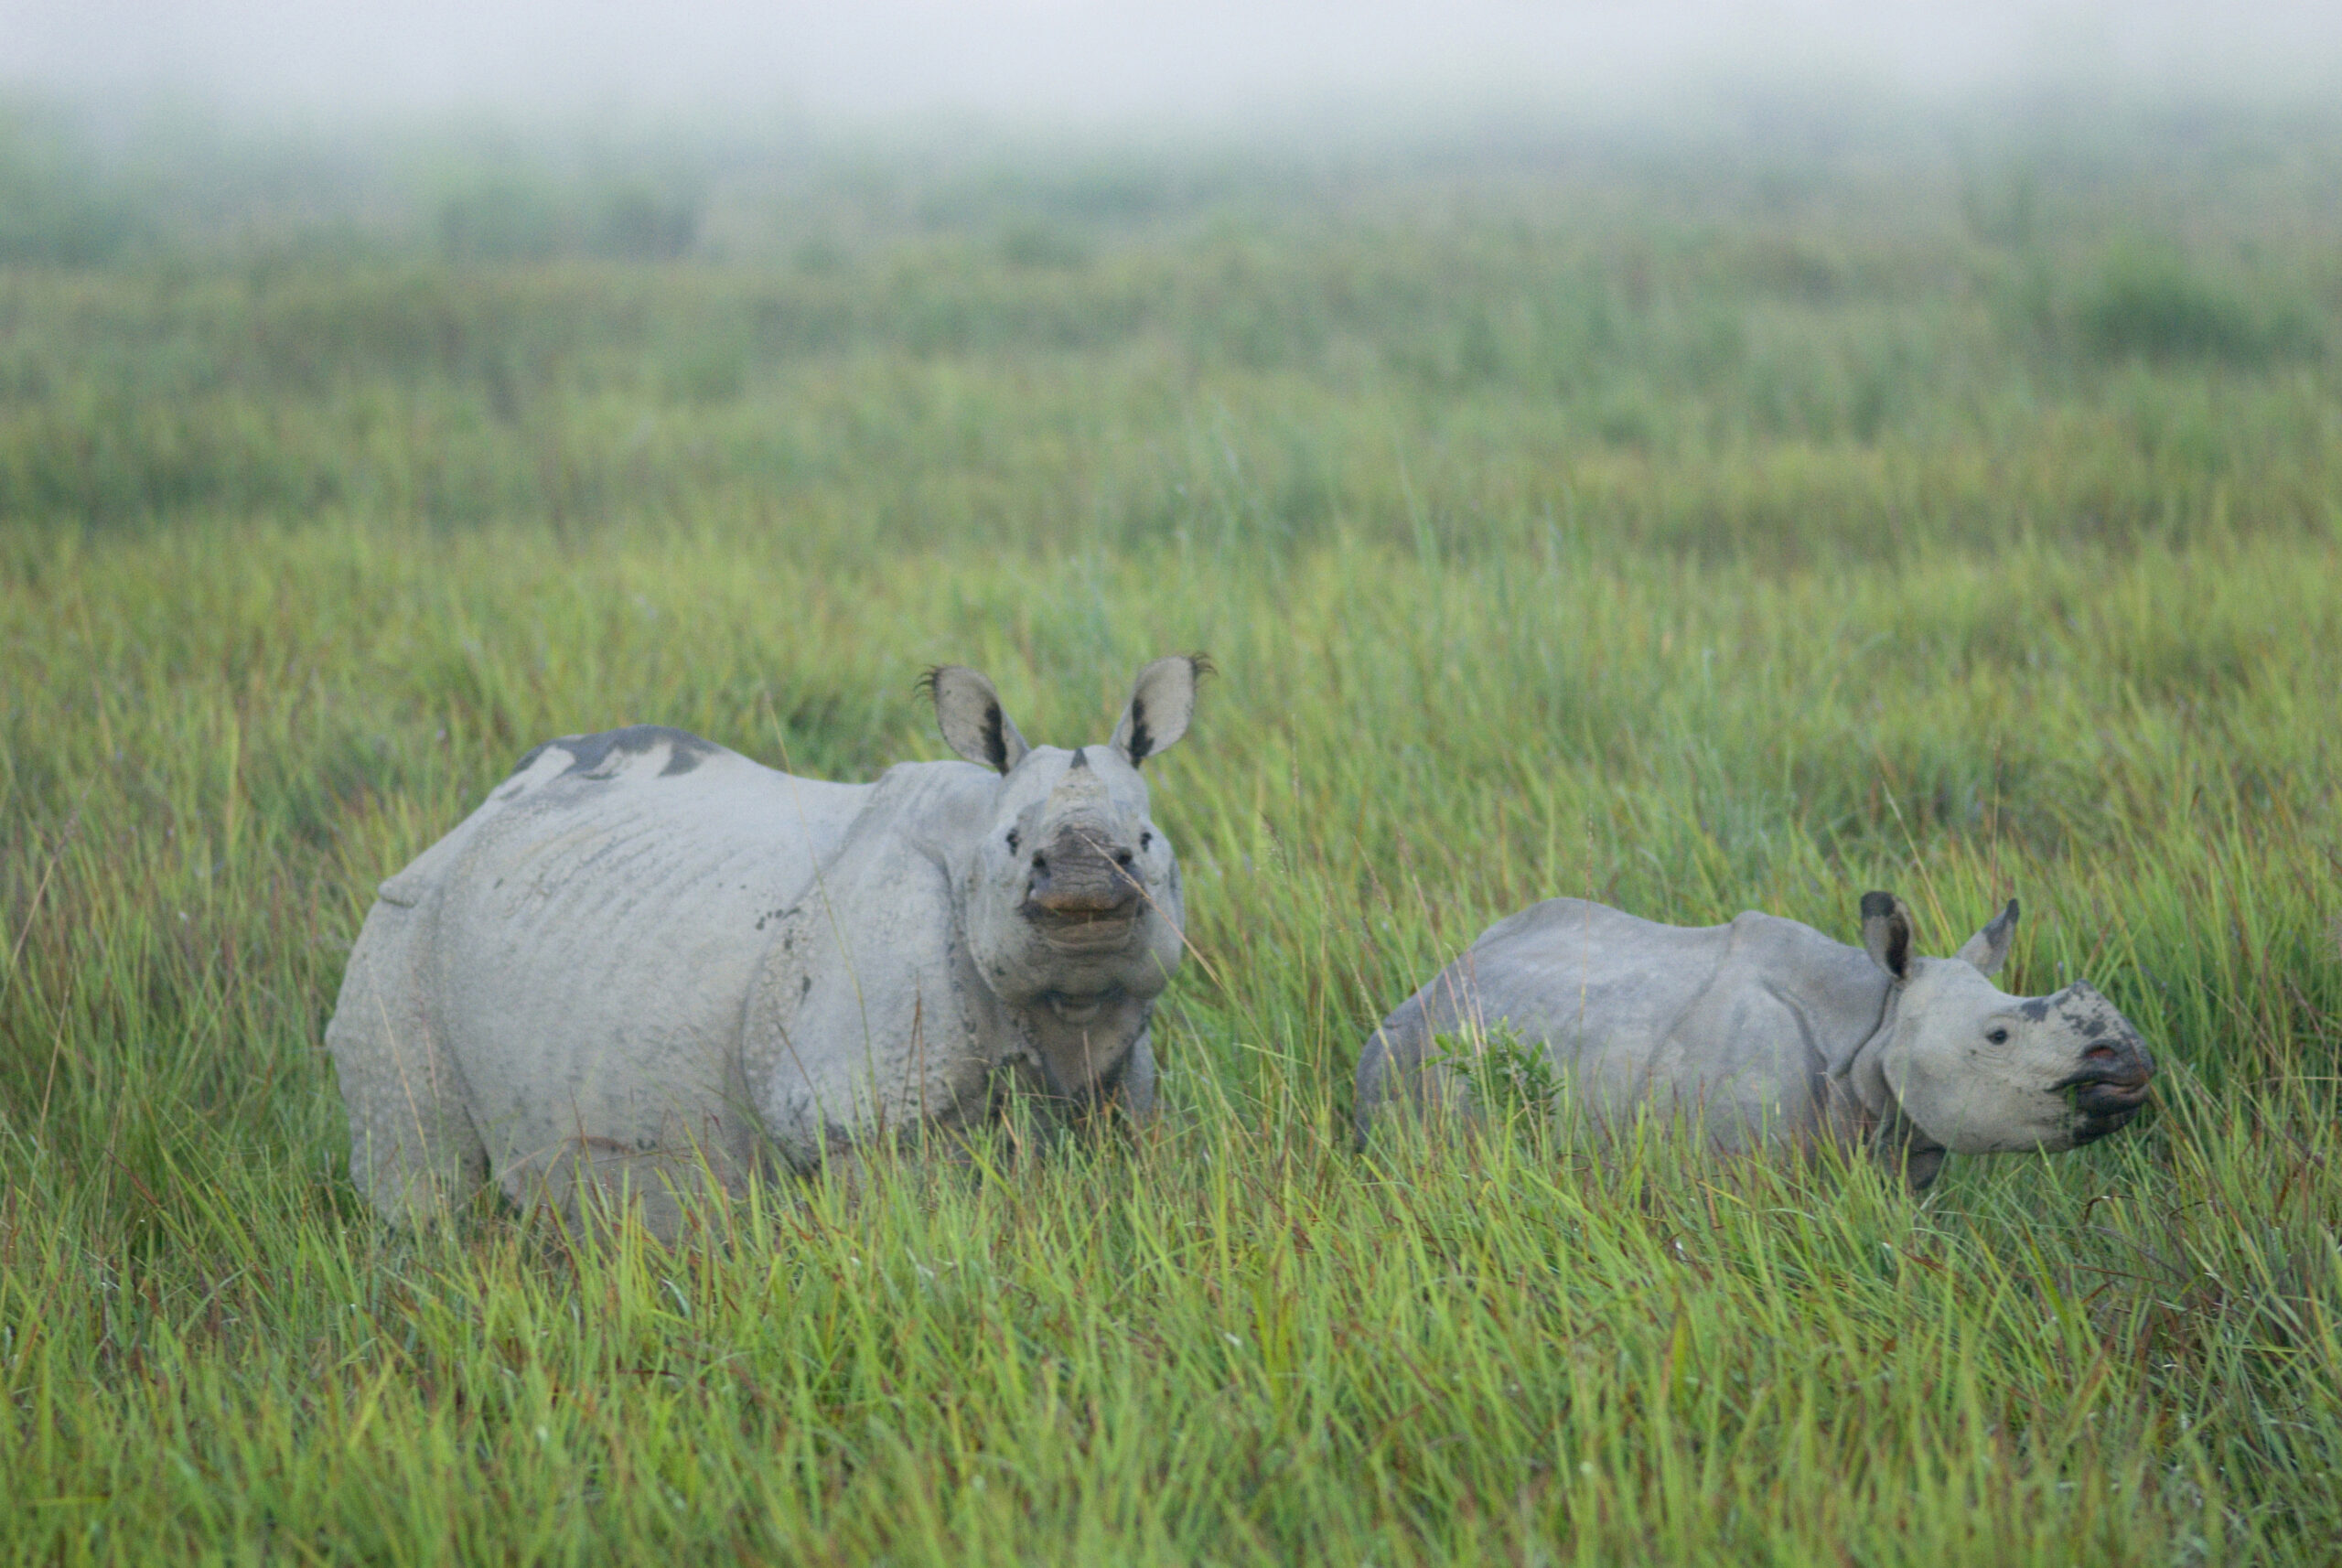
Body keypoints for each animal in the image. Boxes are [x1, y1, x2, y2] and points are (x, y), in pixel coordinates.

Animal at [326, 656, 1206, 1234]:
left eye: (1147, 843)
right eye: (1016, 846)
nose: (1084, 881)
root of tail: (476, 814)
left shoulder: (1121, 1089)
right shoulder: (858, 1111)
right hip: (402, 930)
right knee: (424, 1185)